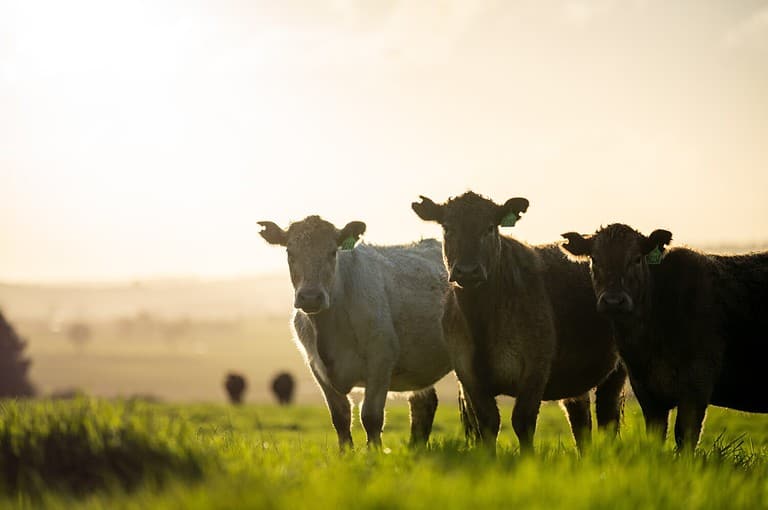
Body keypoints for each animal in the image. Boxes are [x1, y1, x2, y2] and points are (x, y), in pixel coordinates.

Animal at [258, 216, 452, 450]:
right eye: (290, 252)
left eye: (333, 252)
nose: (310, 297)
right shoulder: (317, 367)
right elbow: (340, 417)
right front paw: (346, 454)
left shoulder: (380, 361)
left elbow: (371, 417)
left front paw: (375, 453)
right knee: (423, 404)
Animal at [412, 192, 626, 454]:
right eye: (448, 228)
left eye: (489, 227)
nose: (468, 271)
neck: (481, 320)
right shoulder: (468, 375)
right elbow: (488, 423)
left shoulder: (535, 369)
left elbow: (522, 421)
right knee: (579, 418)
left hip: (618, 369)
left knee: (607, 414)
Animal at [561, 224, 768, 450]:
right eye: (595, 259)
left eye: (637, 258)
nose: (613, 301)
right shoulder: (647, 392)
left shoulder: (697, 385)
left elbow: (685, 437)